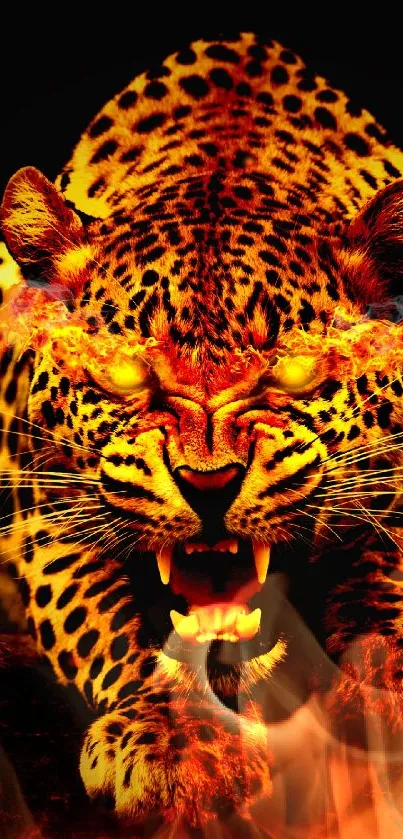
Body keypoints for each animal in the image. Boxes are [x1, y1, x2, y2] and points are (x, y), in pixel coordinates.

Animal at [2, 31, 403, 831]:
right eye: (123, 370)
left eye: (296, 370)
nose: (208, 482)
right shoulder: (44, 517)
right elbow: (108, 624)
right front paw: (175, 737)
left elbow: (383, 578)